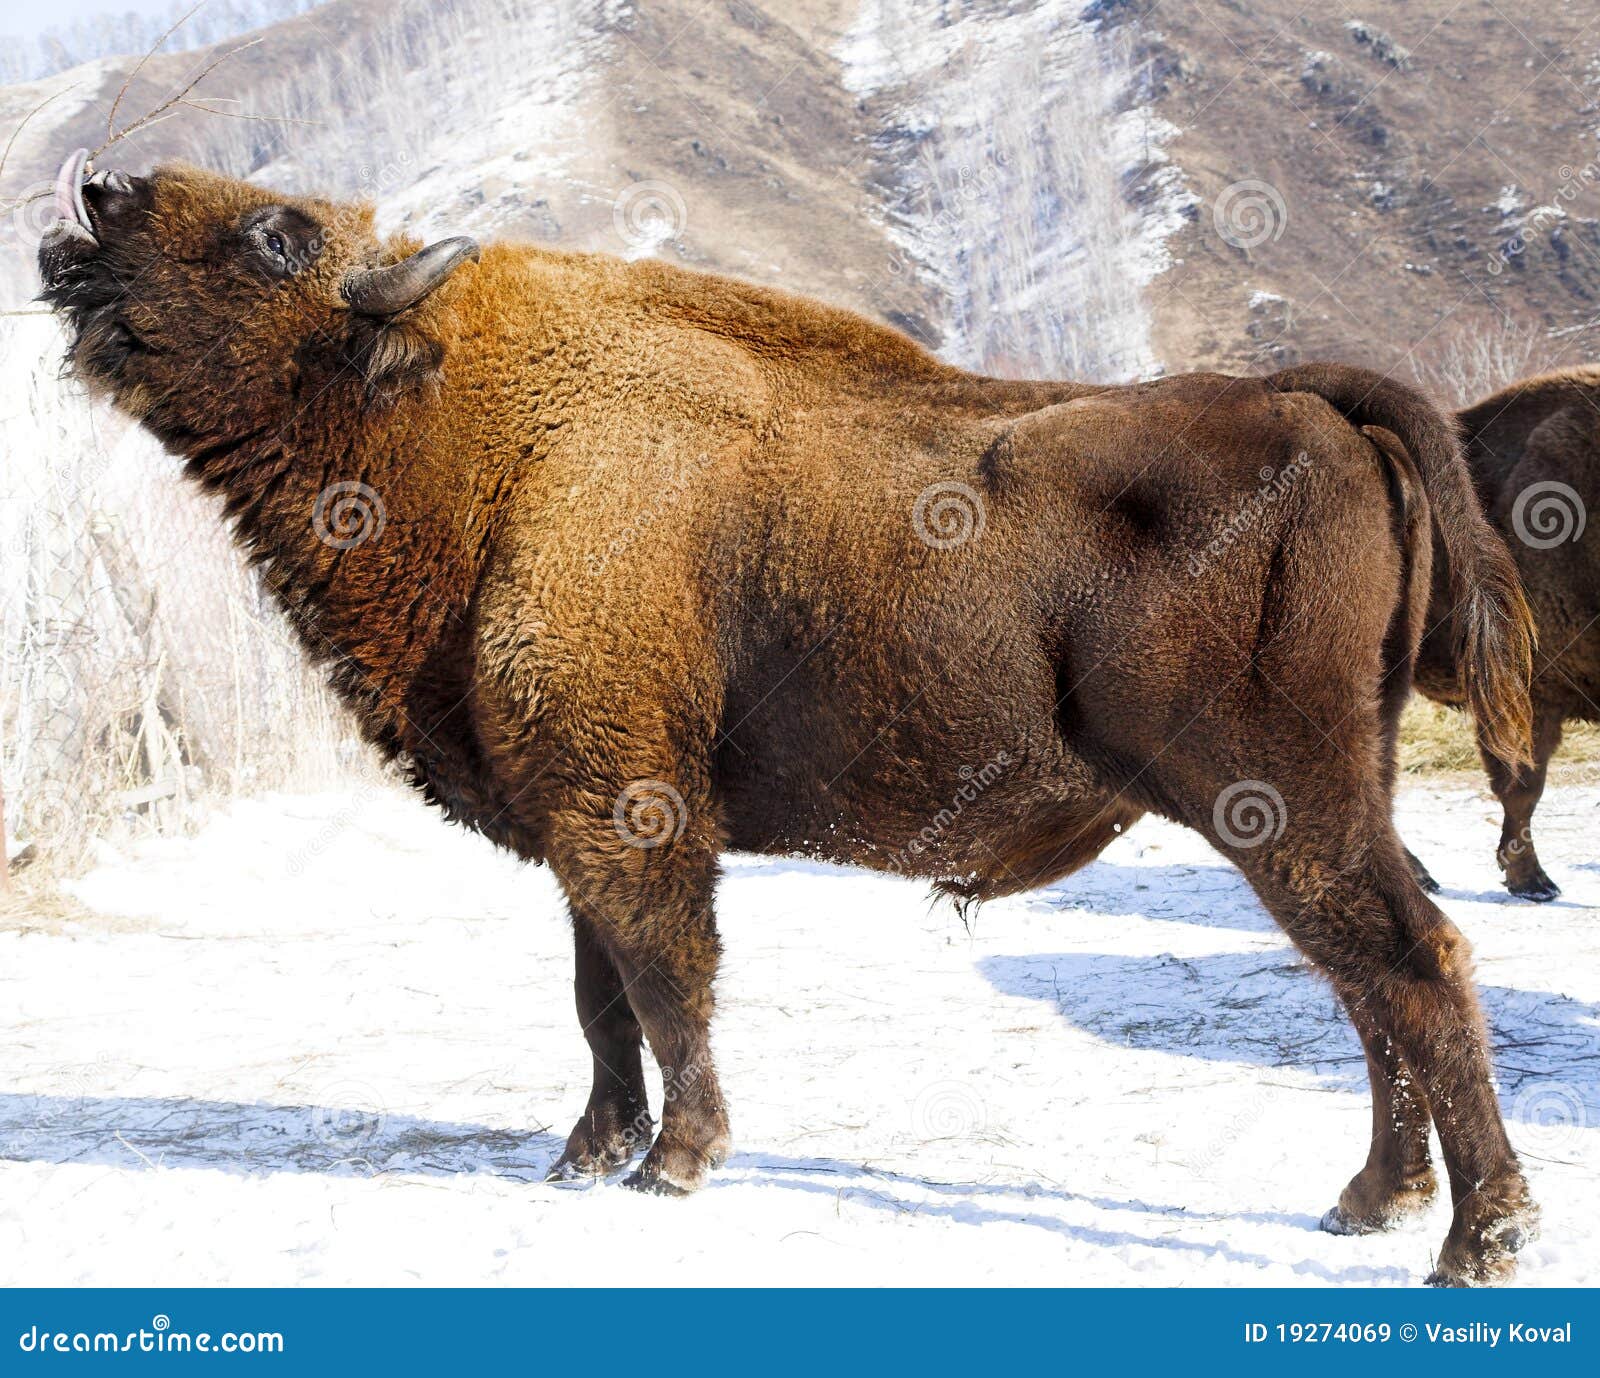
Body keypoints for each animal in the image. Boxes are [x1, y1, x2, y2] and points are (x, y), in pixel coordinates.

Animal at [37, 150, 1541, 1284]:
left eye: (277, 236)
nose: (94, 193)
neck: (480, 424)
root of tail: (1309, 400)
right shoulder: (578, 820)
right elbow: (599, 1001)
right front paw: (585, 1154)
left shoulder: (631, 816)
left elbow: (666, 982)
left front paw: (674, 1164)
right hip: (1332, 799)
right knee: (1369, 981)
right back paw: (1372, 1201)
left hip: (1277, 800)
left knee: (1412, 964)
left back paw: (1474, 1238)